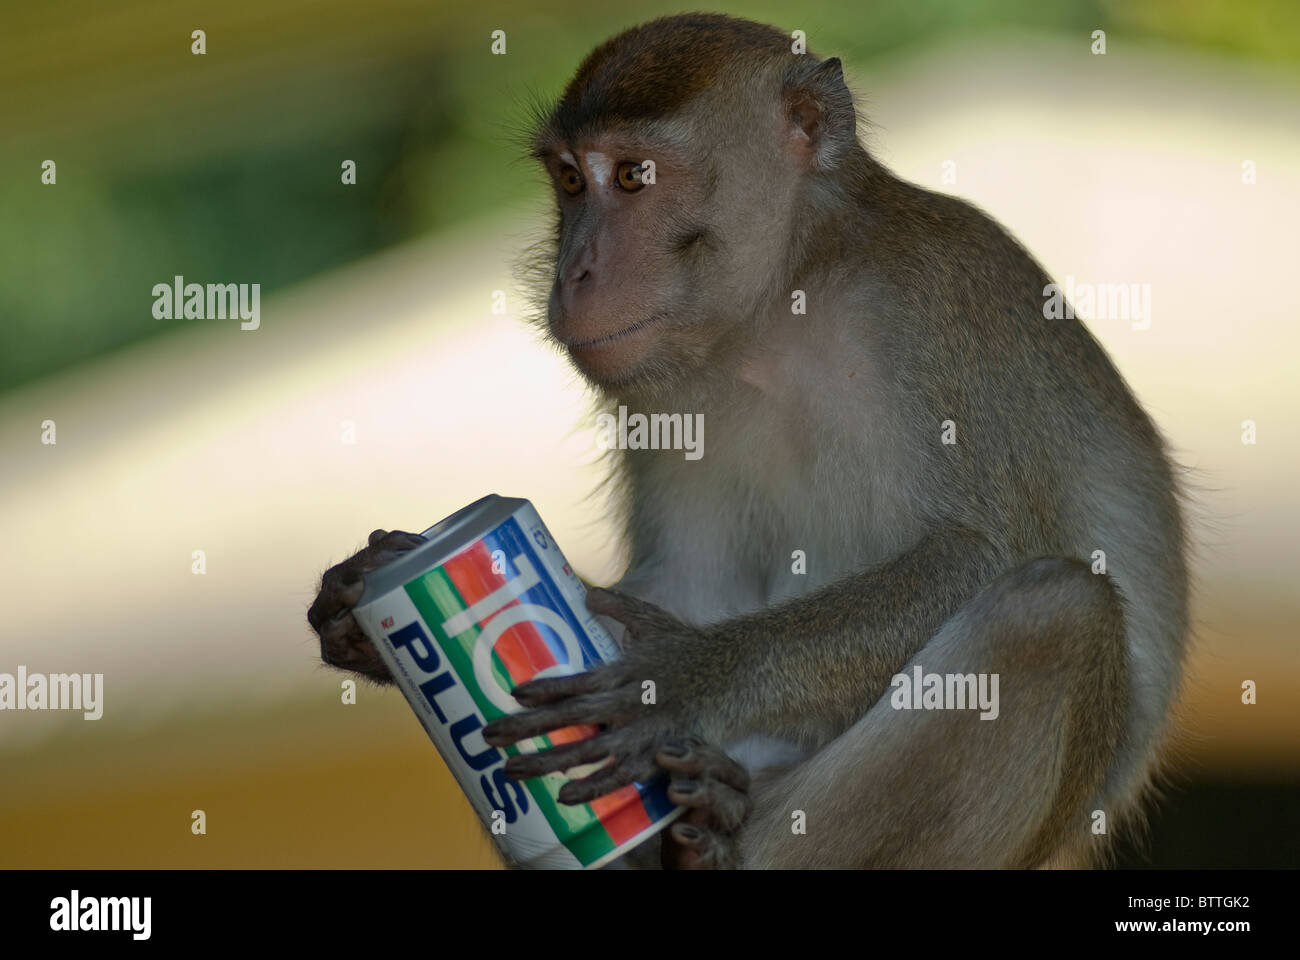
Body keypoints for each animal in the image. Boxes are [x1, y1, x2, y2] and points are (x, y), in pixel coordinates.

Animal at [307, 13, 1188, 869]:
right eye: (569, 181)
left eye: (633, 176)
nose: (575, 270)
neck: (782, 306)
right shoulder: (667, 398)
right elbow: (696, 581)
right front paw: (361, 607)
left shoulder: (932, 312)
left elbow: (985, 552)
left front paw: (685, 681)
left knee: (1055, 609)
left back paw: (723, 841)